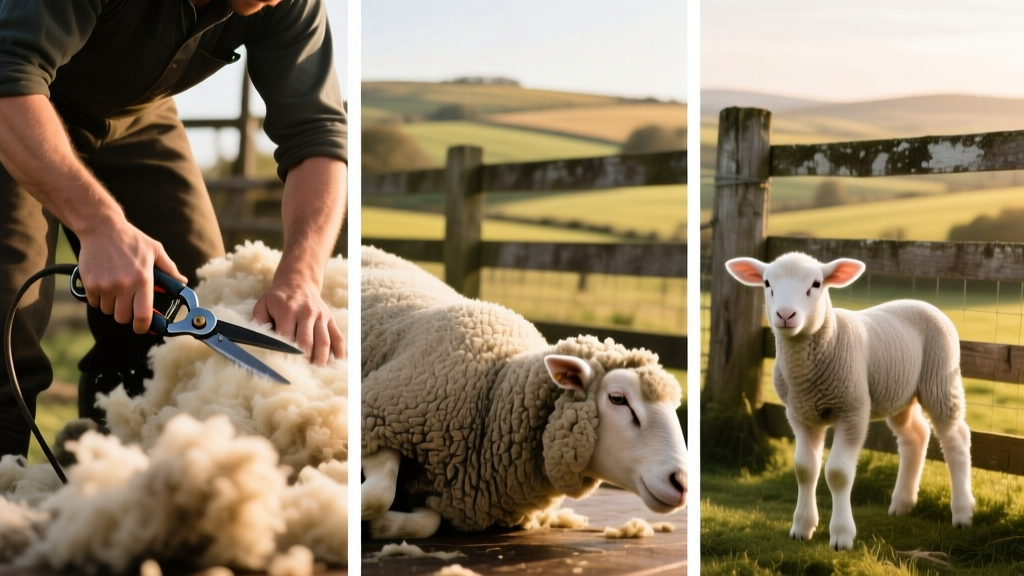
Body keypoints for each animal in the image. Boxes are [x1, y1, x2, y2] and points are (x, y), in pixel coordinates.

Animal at [360, 246, 687, 539]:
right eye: (618, 399)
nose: (682, 482)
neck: (495, 391)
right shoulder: (378, 412)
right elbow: (379, 493)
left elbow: (427, 518)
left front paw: (385, 524)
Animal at [725, 252, 974, 550]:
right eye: (766, 283)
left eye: (816, 284)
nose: (785, 315)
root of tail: (923, 303)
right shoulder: (800, 415)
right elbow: (804, 469)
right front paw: (802, 528)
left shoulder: (853, 411)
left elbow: (838, 473)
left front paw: (842, 536)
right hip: (899, 394)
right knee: (916, 435)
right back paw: (902, 503)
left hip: (940, 380)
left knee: (955, 437)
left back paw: (962, 513)